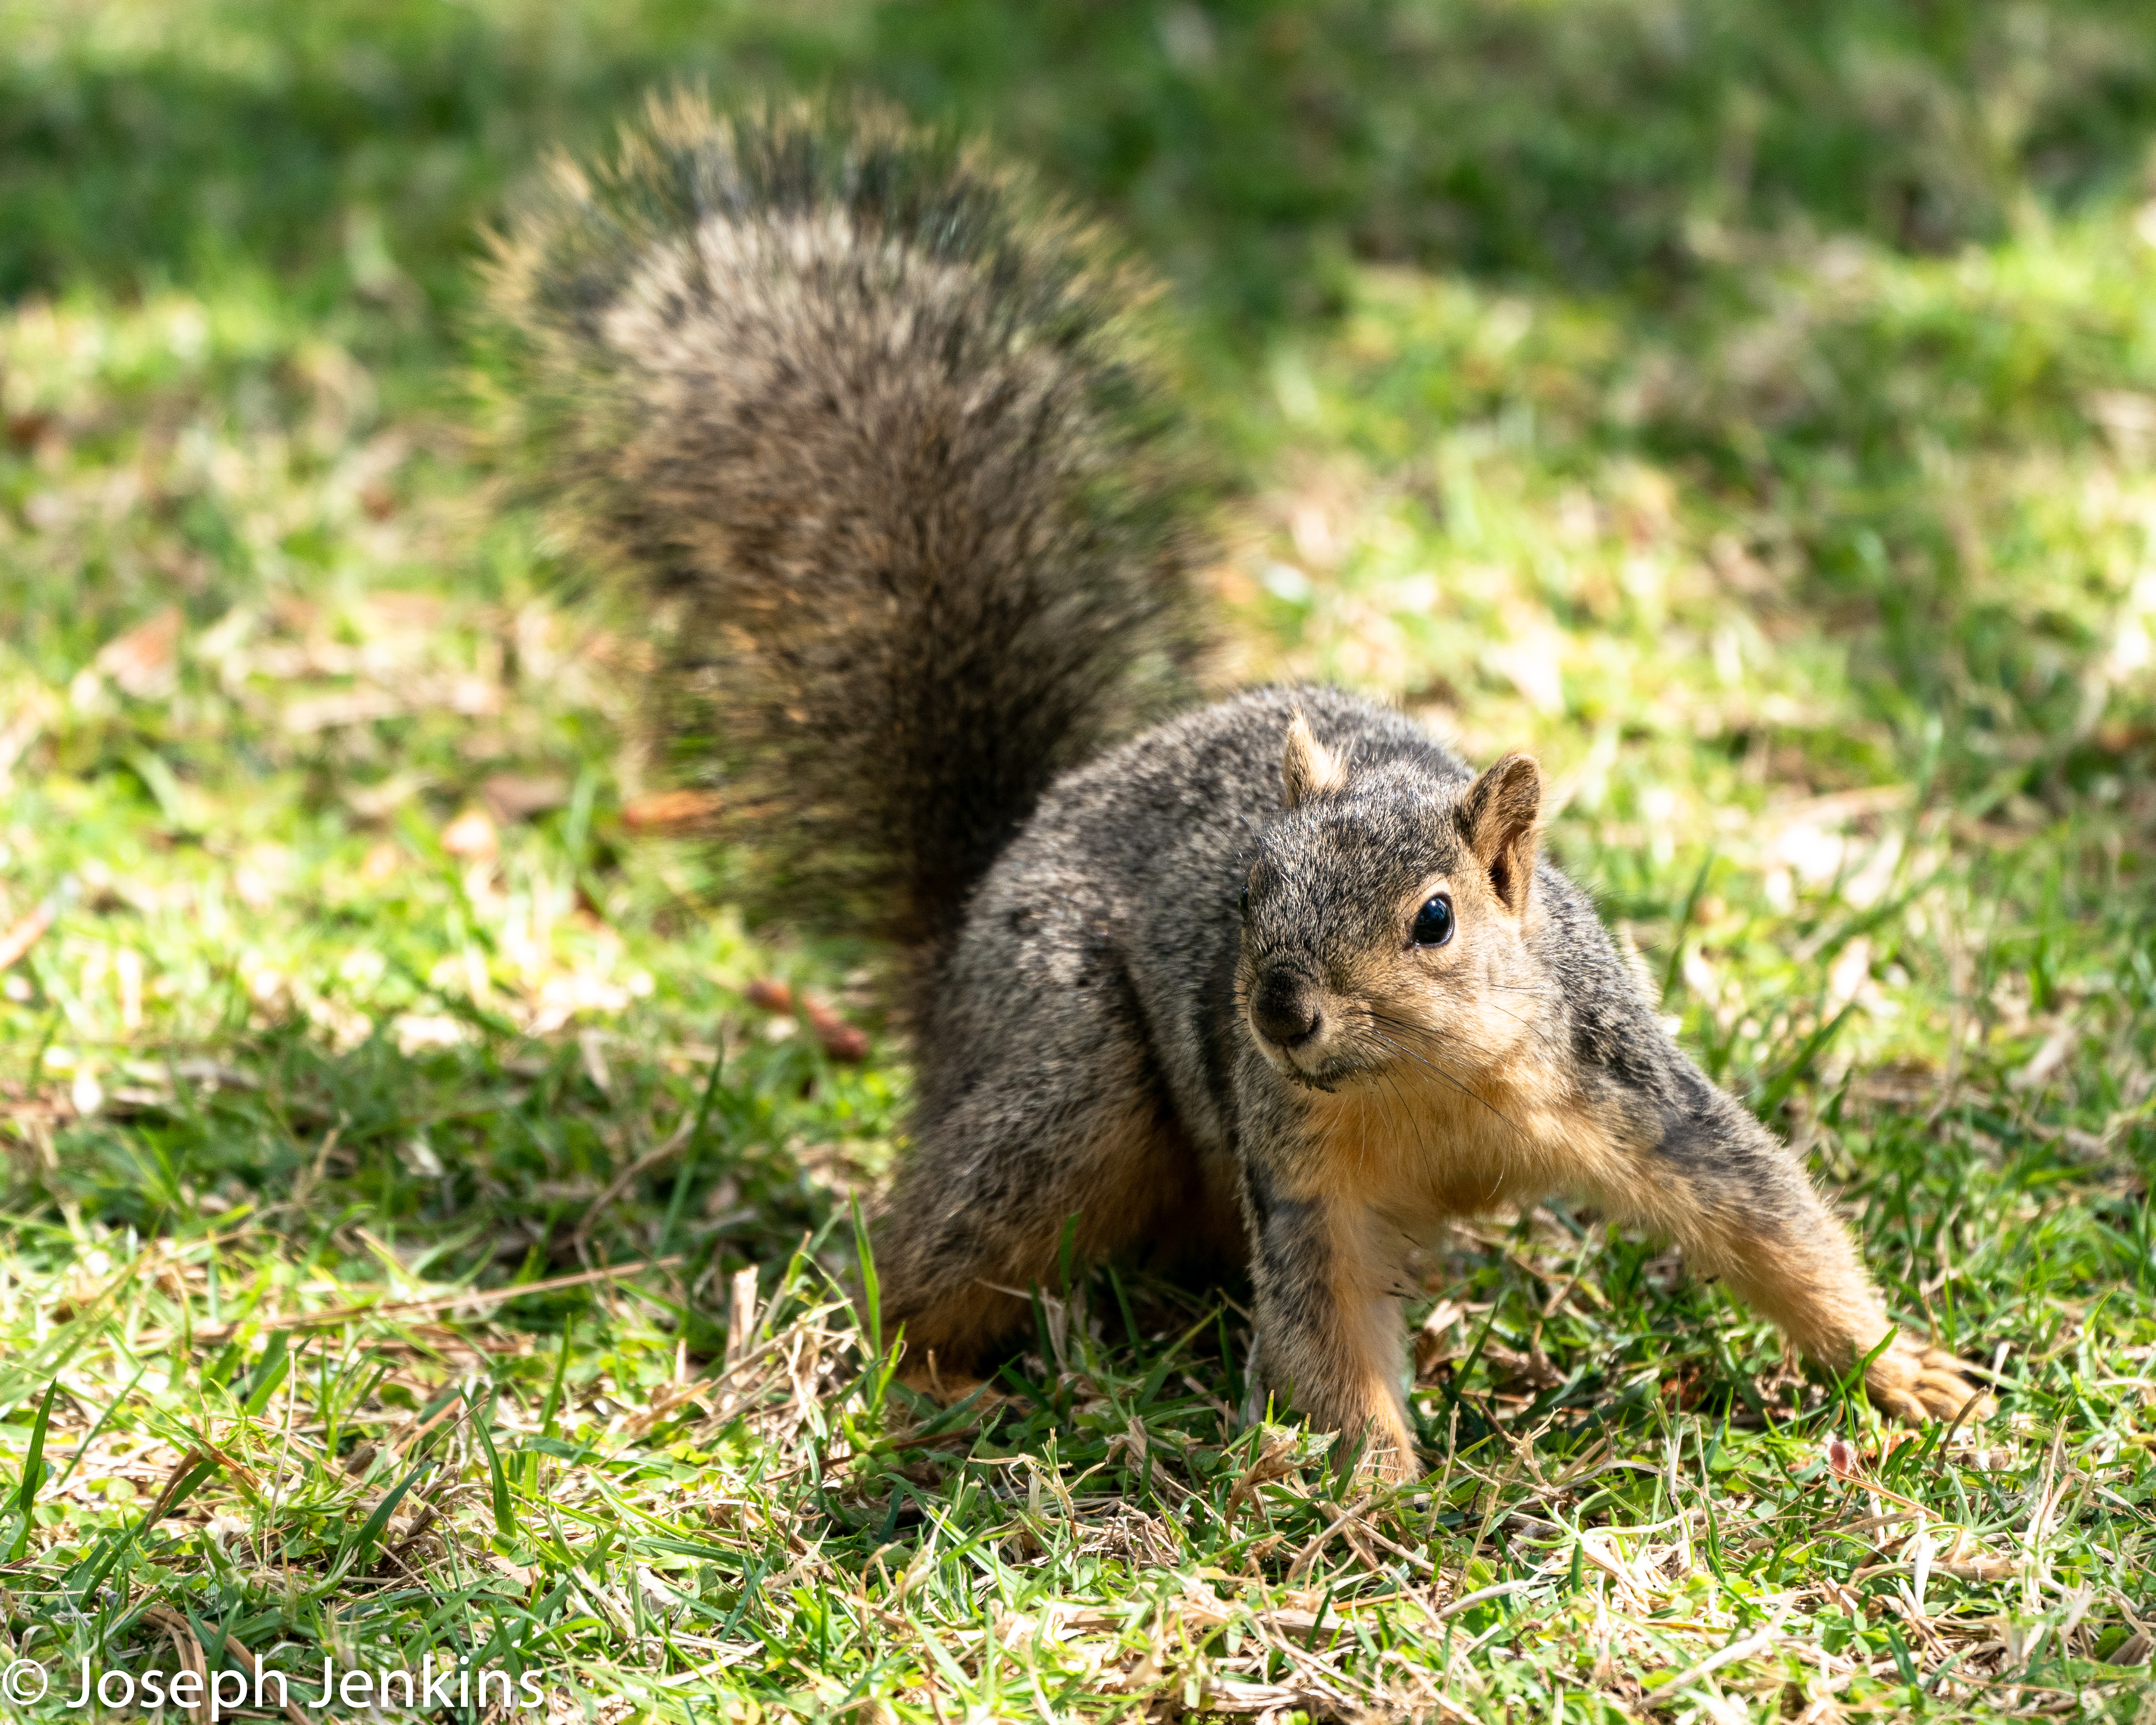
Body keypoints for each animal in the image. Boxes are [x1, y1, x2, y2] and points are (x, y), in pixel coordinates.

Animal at [486, 93, 1991, 1479]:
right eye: (1251, 886)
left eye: (1436, 917)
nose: (1272, 1012)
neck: (1427, 1089)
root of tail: (965, 926)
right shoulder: (1303, 1179)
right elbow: (1325, 1324)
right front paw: (1374, 1487)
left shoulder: (1624, 1085)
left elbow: (1766, 1220)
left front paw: (1901, 1369)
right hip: (1068, 1071)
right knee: (938, 1248)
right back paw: (928, 1385)